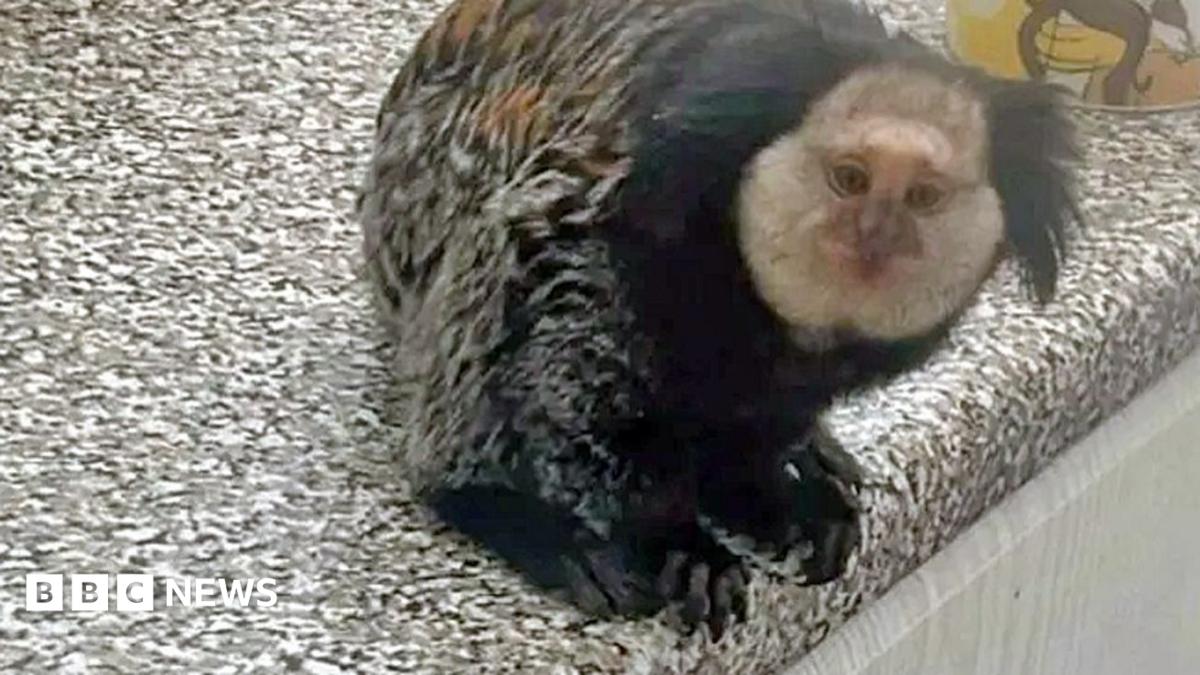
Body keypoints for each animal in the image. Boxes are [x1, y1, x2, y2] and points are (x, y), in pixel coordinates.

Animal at [358, 0, 1081, 638]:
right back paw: (490, 502)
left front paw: (763, 497)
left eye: (924, 196)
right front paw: (675, 538)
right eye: (849, 178)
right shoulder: (619, 209)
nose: (877, 231)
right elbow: (561, 340)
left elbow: (765, 424)